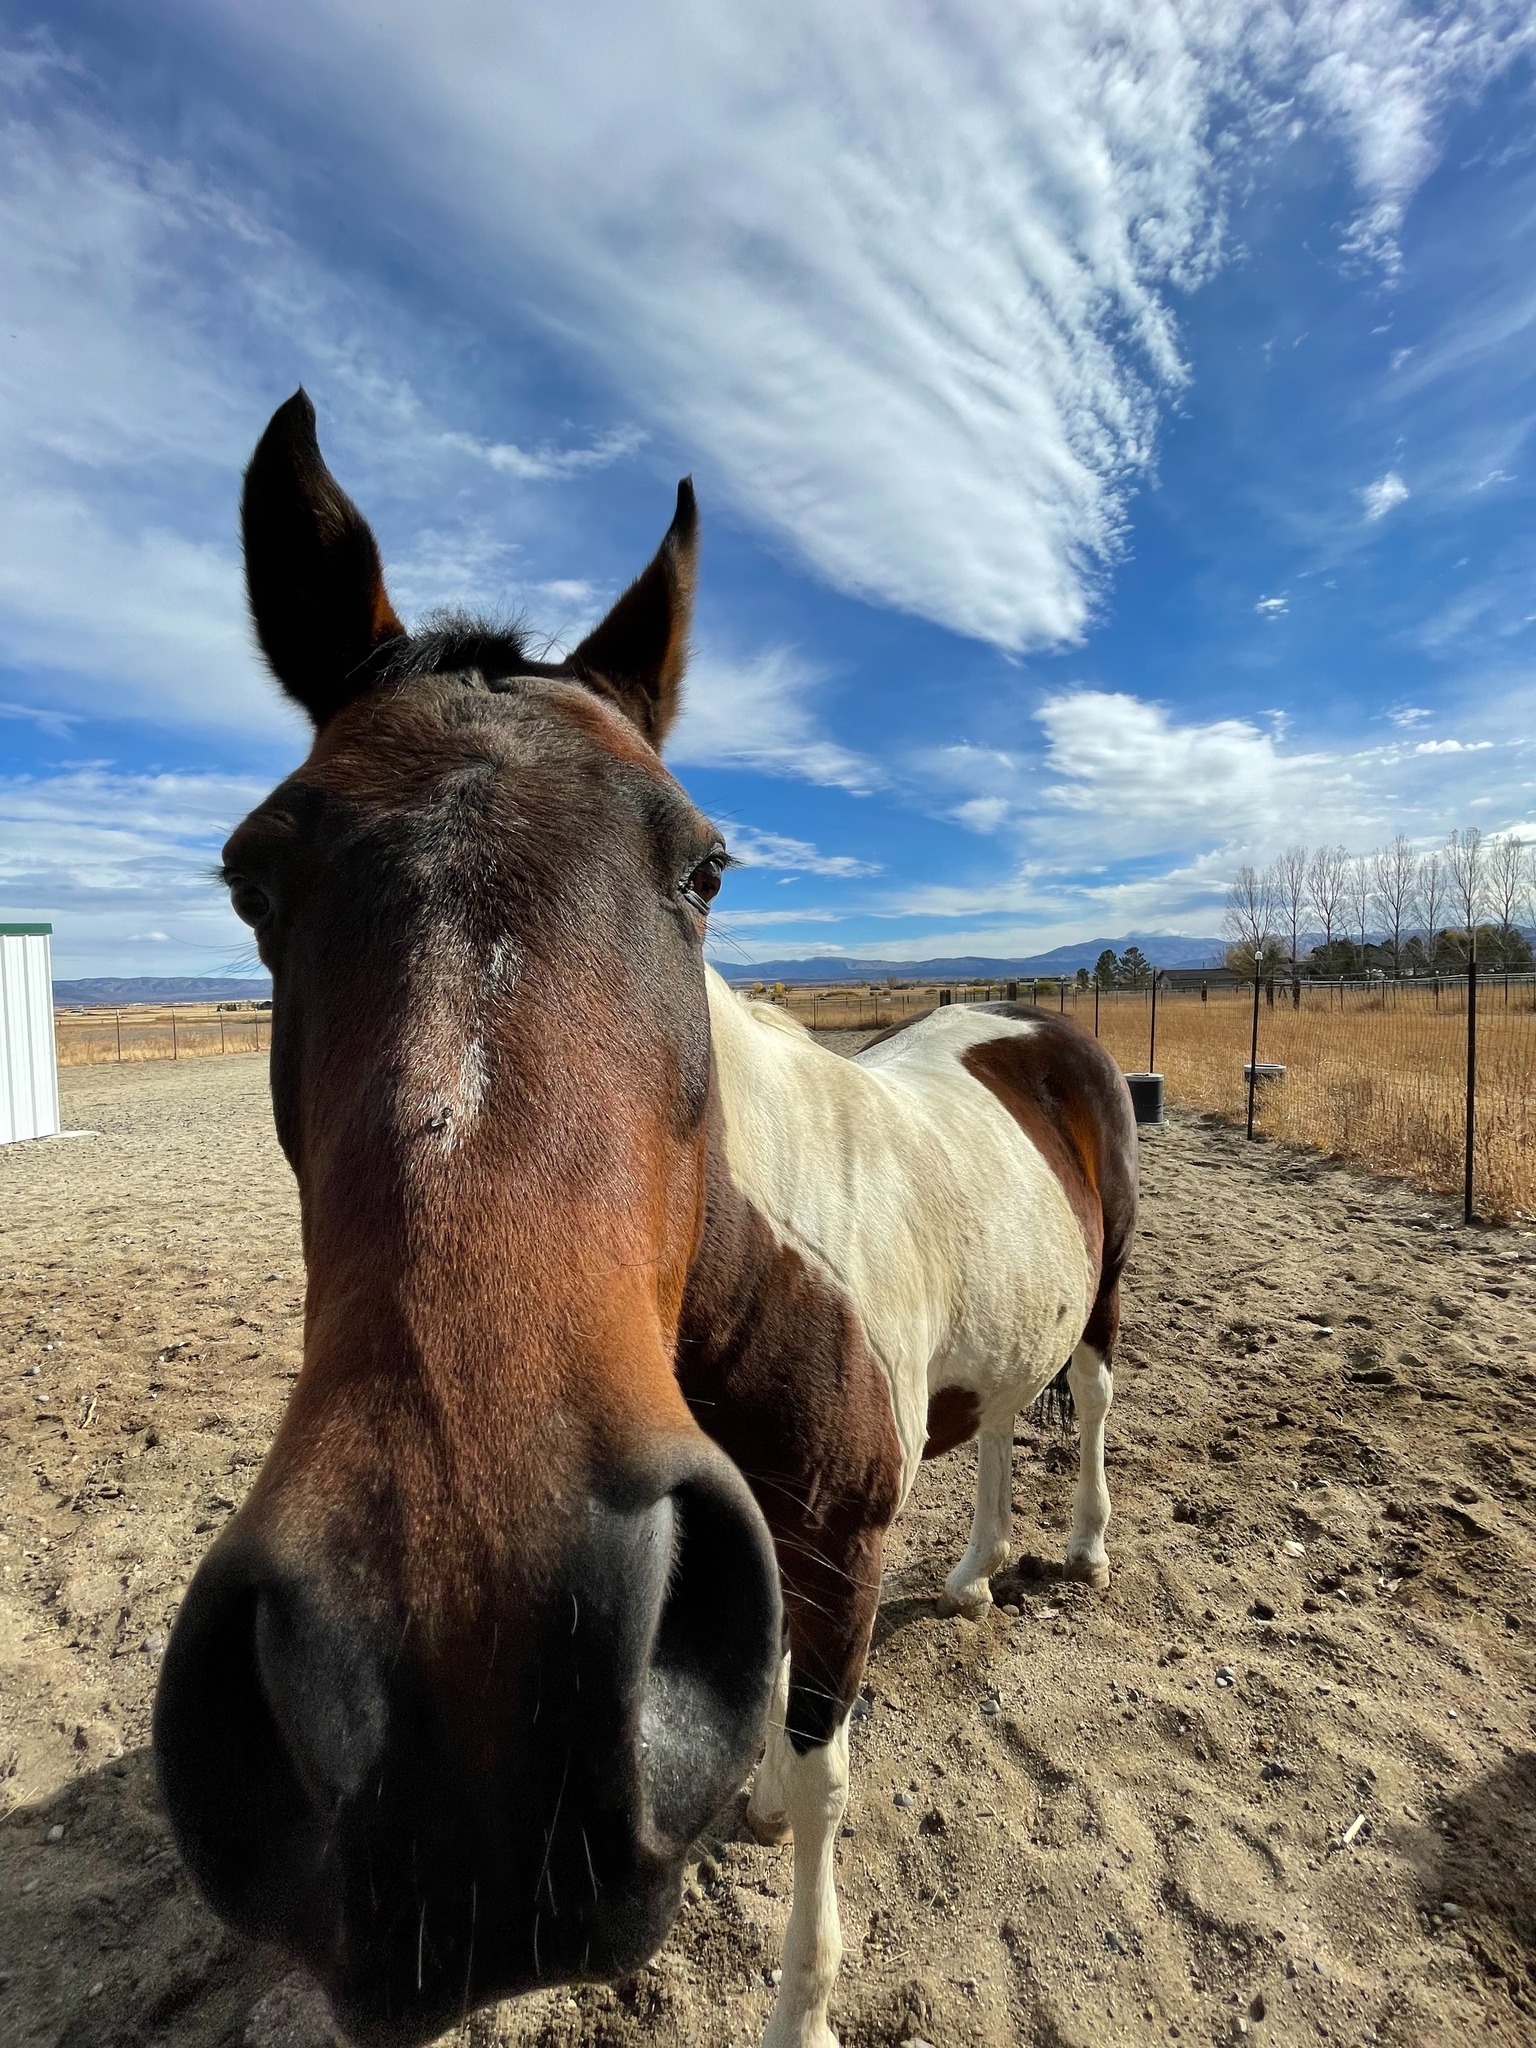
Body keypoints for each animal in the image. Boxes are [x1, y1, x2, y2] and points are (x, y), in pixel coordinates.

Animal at [153, 392, 1138, 2048]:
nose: (465, 1687)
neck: (750, 1291)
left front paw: (802, 1996)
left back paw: (1080, 1554)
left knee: (1098, 1397)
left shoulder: (836, 1540)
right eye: (251, 884)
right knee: (1008, 1413)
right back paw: (976, 1569)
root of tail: (1039, 1025)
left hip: (1110, 1297)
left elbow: (823, 1772)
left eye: (704, 869)